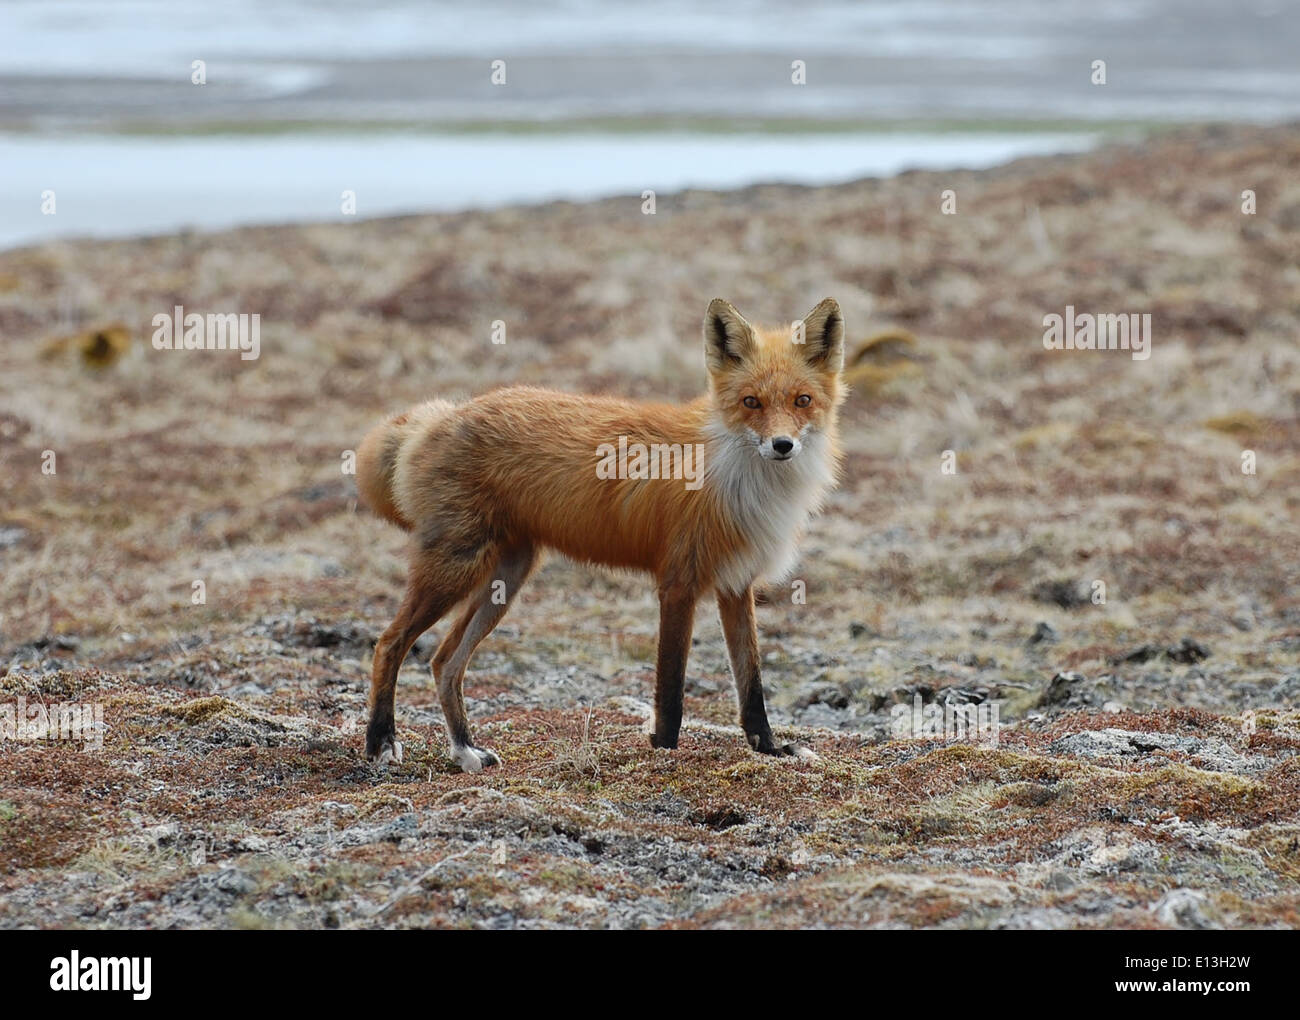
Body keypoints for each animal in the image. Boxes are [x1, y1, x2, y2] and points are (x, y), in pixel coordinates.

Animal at [354, 297, 846, 772]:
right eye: (751, 402)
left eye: (802, 400)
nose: (782, 446)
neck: (739, 477)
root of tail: (444, 413)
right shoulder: (678, 582)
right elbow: (671, 688)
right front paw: (664, 753)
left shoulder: (736, 585)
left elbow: (752, 686)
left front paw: (772, 750)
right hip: (455, 569)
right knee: (389, 644)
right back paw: (382, 741)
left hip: (505, 580)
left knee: (444, 662)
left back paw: (464, 750)